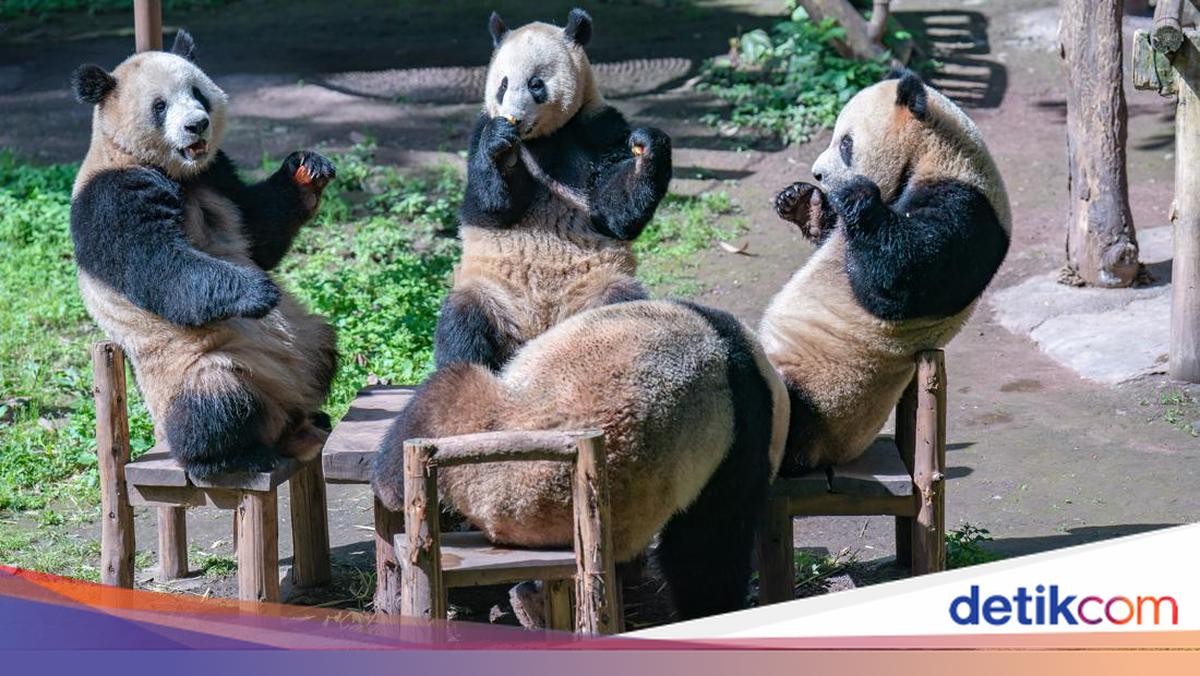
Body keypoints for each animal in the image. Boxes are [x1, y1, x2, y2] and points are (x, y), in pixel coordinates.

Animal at [69, 31, 338, 478]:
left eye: (198, 93)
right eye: (160, 106)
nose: (197, 124)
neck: (179, 174)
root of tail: (280, 413)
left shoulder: (217, 176)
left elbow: (258, 231)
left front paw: (307, 169)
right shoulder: (111, 195)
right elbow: (159, 266)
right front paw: (258, 291)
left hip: (304, 339)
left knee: (322, 345)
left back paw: (313, 415)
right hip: (190, 369)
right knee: (212, 406)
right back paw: (232, 456)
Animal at [436, 7, 673, 371]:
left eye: (536, 84)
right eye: (503, 85)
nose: (514, 118)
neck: (538, 140)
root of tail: (538, 329)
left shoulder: (596, 127)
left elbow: (613, 212)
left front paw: (647, 148)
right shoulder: (479, 131)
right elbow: (492, 206)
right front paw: (500, 147)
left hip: (597, 285)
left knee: (621, 309)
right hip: (492, 291)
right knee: (463, 323)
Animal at [761, 69, 1011, 475]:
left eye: (846, 143)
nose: (818, 173)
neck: (933, 154)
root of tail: (829, 456)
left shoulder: (967, 208)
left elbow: (898, 281)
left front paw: (855, 194)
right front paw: (803, 202)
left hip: (823, 397)